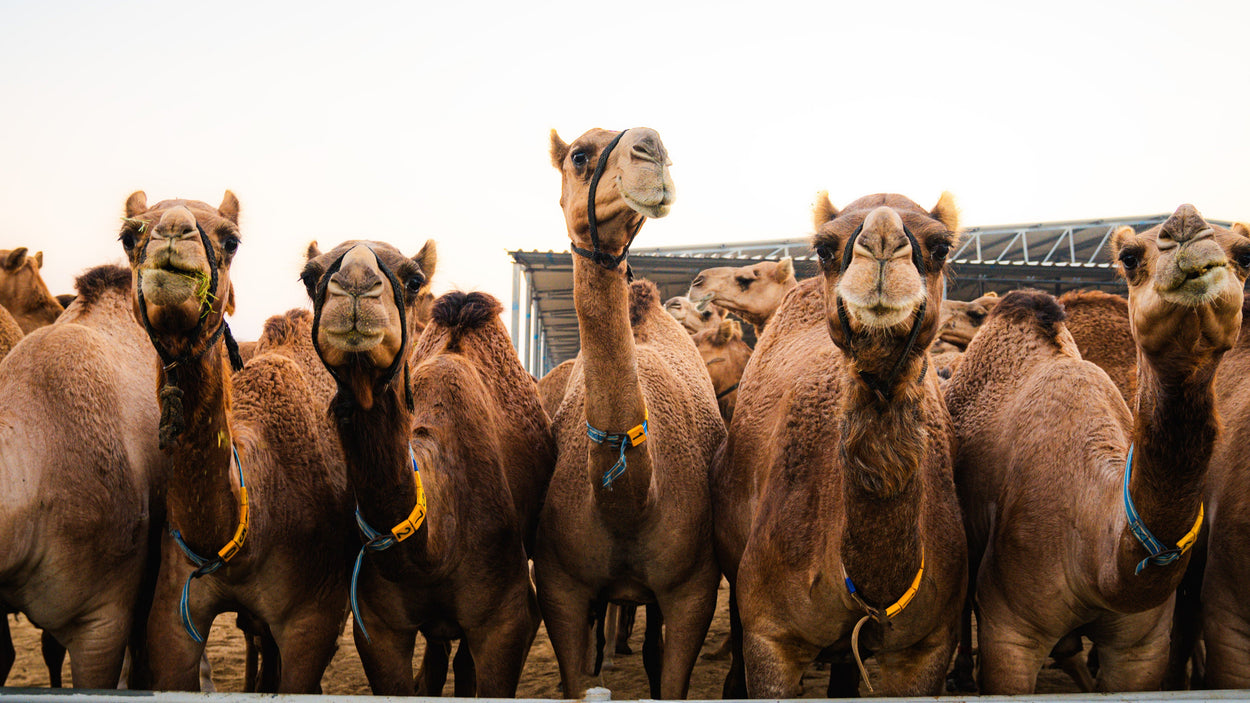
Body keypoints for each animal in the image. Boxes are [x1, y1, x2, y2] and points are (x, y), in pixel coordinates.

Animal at [302, 239, 551, 696]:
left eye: (414, 279)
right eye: (310, 277)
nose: (356, 284)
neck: (433, 551)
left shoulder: (507, 620)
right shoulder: (378, 629)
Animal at [535, 127, 723, 699]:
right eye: (578, 156)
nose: (651, 148)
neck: (629, 501)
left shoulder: (694, 589)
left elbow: (671, 673)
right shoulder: (559, 588)